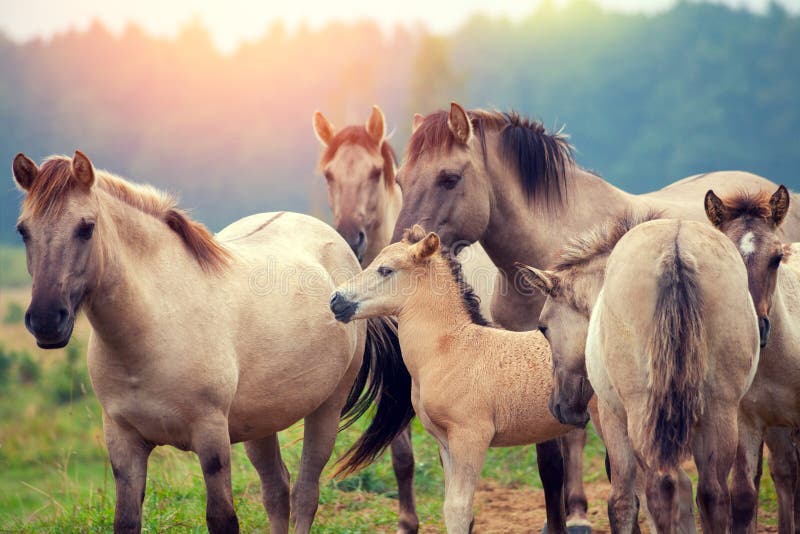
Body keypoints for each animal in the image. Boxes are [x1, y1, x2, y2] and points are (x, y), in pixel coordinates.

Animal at [11, 151, 406, 533]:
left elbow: (222, 519)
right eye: (23, 231)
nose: (46, 320)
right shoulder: (124, 441)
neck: (155, 326)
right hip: (260, 423)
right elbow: (125, 521)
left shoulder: (211, 437)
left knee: (305, 493)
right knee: (277, 491)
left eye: (86, 228)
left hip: (327, 406)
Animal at [329, 225, 578, 534]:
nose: (336, 300)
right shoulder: (445, 441)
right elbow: (454, 507)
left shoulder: (471, 436)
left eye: (385, 270)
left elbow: (458, 509)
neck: (452, 349)